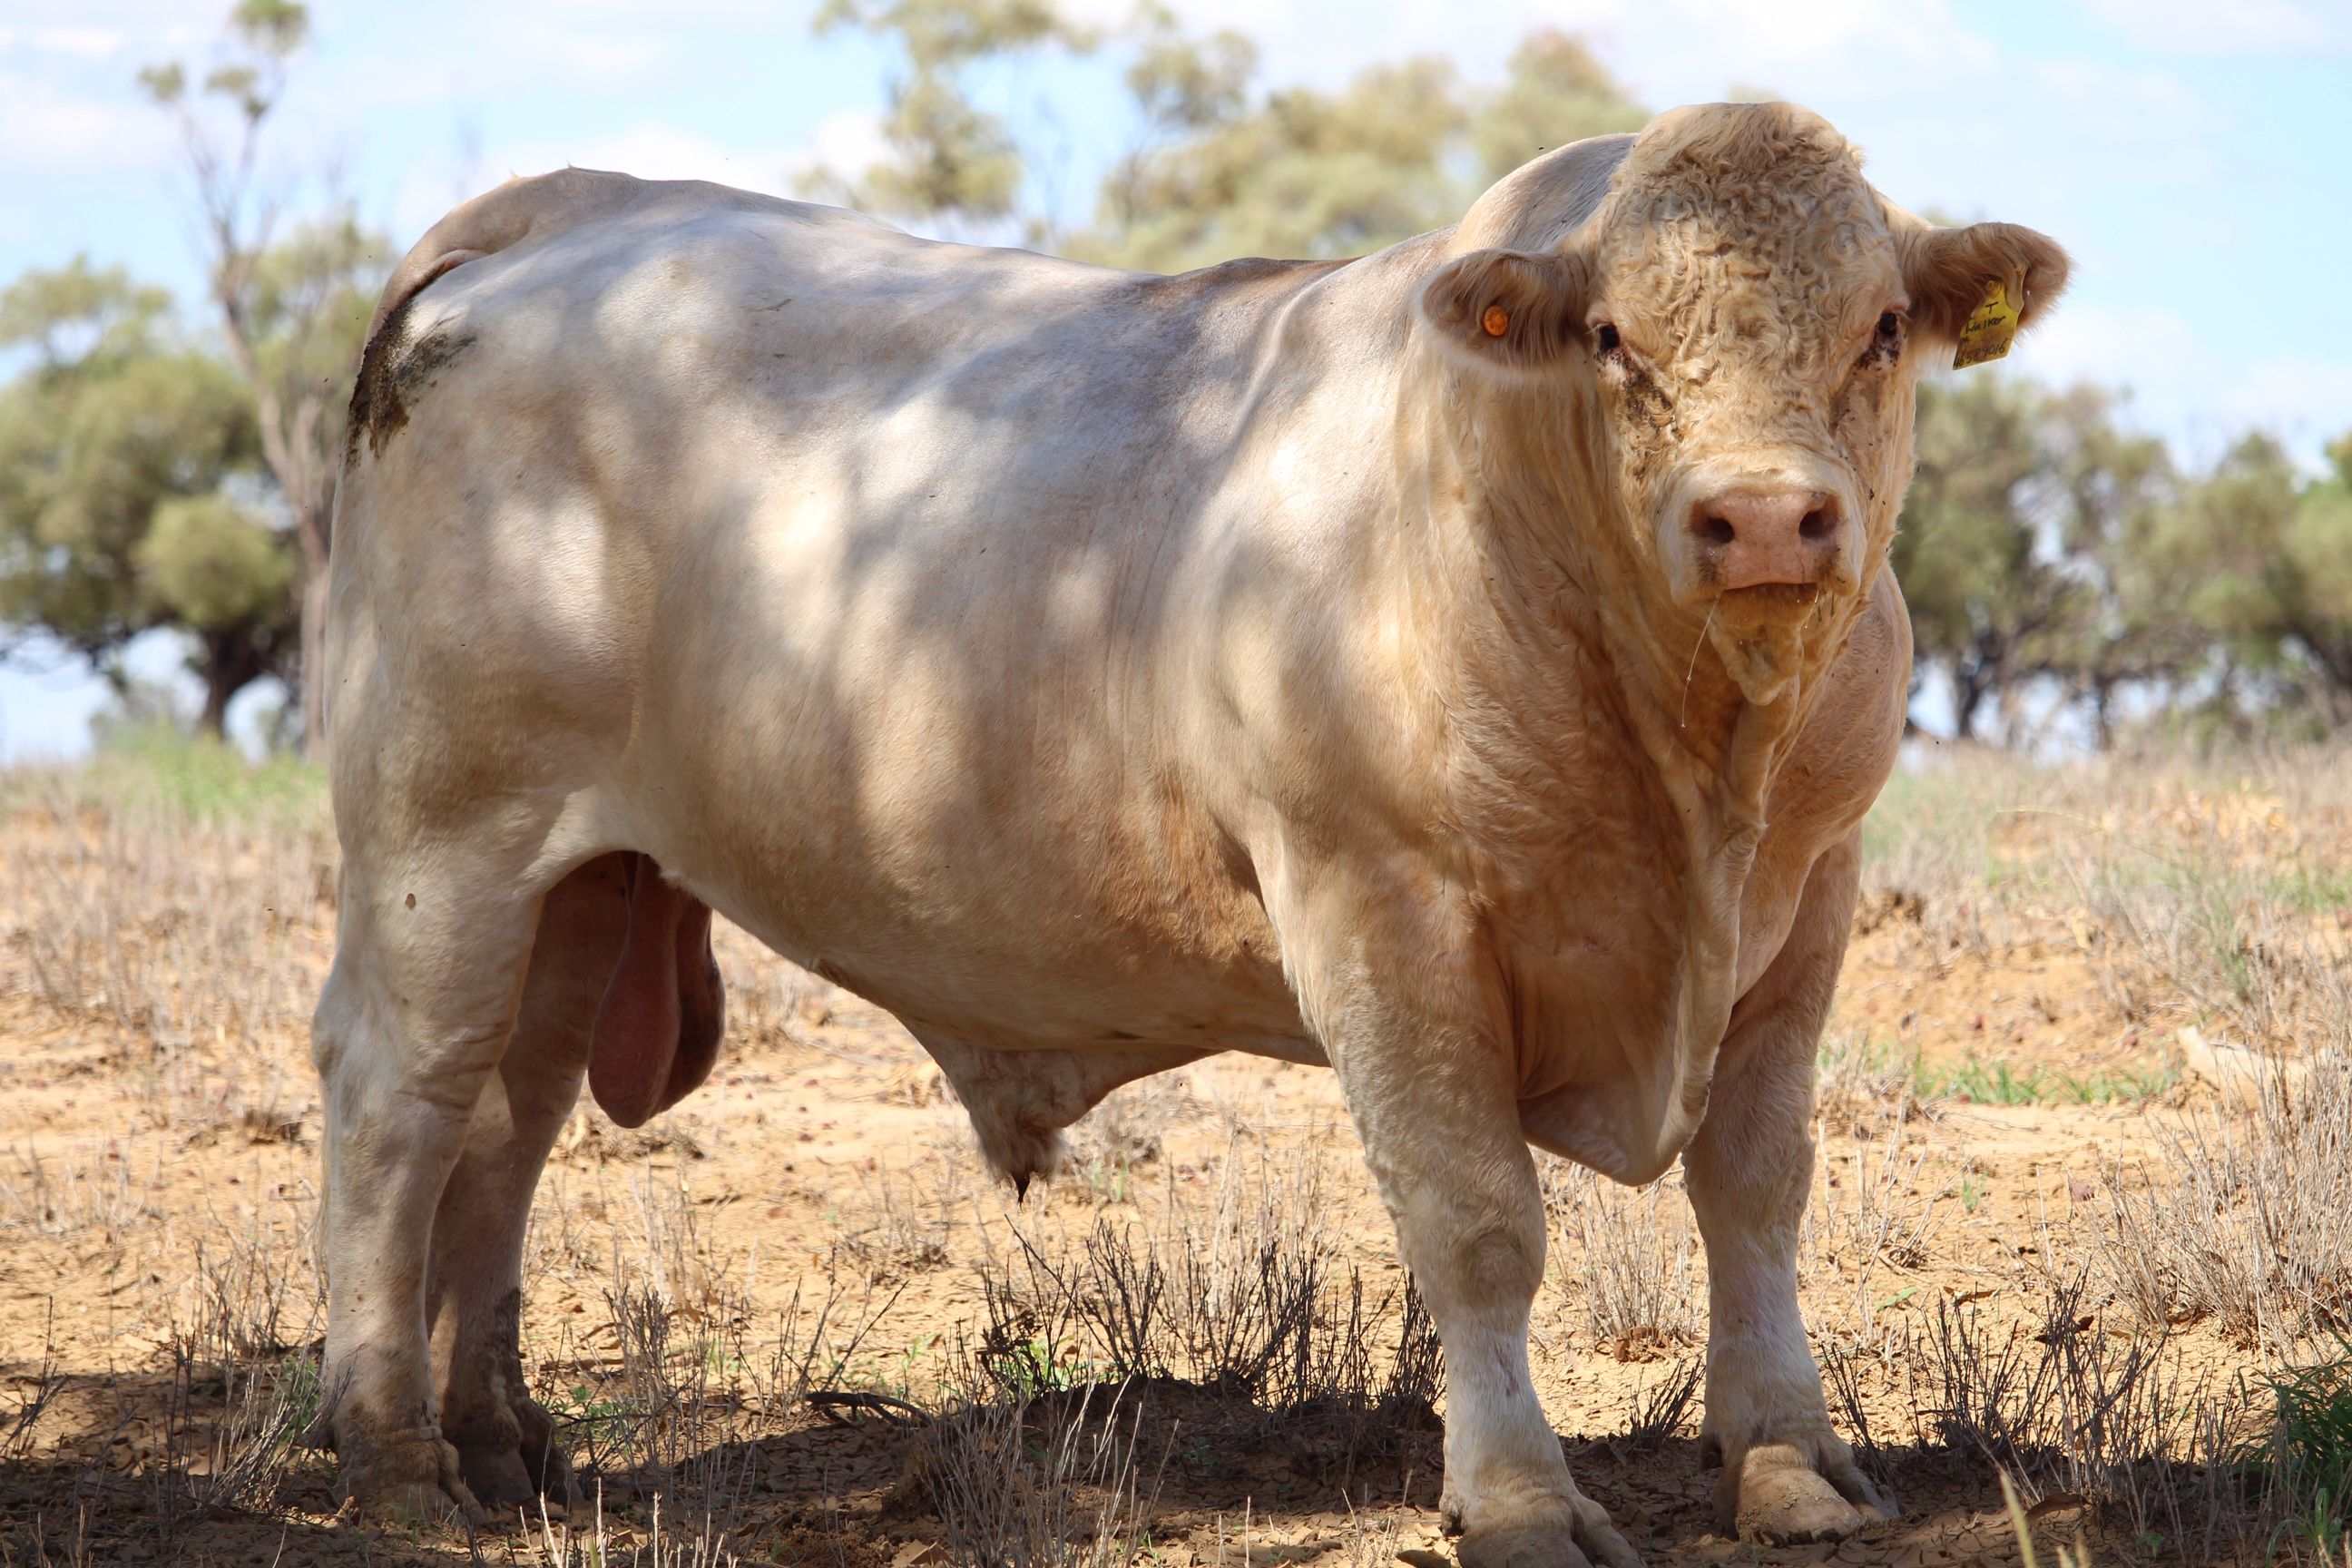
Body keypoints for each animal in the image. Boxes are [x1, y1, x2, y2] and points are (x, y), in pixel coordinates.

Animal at [310, 100, 2065, 1565]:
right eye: (1616, 338)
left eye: (1883, 326)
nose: (1764, 518)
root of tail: (580, 210)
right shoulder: (1379, 905)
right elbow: (1477, 1221)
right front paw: (1518, 1498)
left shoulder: (1810, 897)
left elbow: (1755, 1186)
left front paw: (1789, 1465)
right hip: (439, 837)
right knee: (400, 1098)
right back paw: (394, 1456)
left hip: (581, 881)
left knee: (509, 1115)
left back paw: (502, 1440)